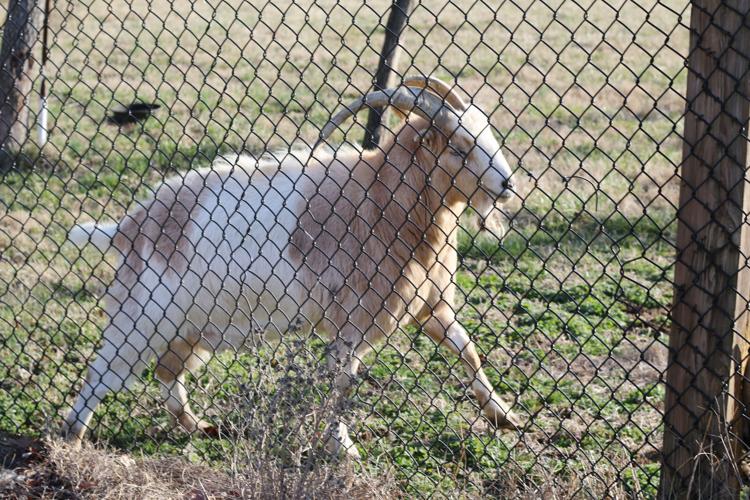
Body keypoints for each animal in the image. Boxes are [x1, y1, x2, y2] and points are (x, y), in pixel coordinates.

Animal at [63, 76, 521, 457]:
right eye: (458, 147)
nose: (508, 184)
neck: (382, 200)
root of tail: (129, 226)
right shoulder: (351, 325)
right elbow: (341, 385)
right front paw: (344, 450)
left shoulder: (432, 308)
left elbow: (468, 351)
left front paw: (504, 417)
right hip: (141, 319)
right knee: (102, 373)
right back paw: (72, 438)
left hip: (188, 328)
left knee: (167, 373)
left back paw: (200, 427)